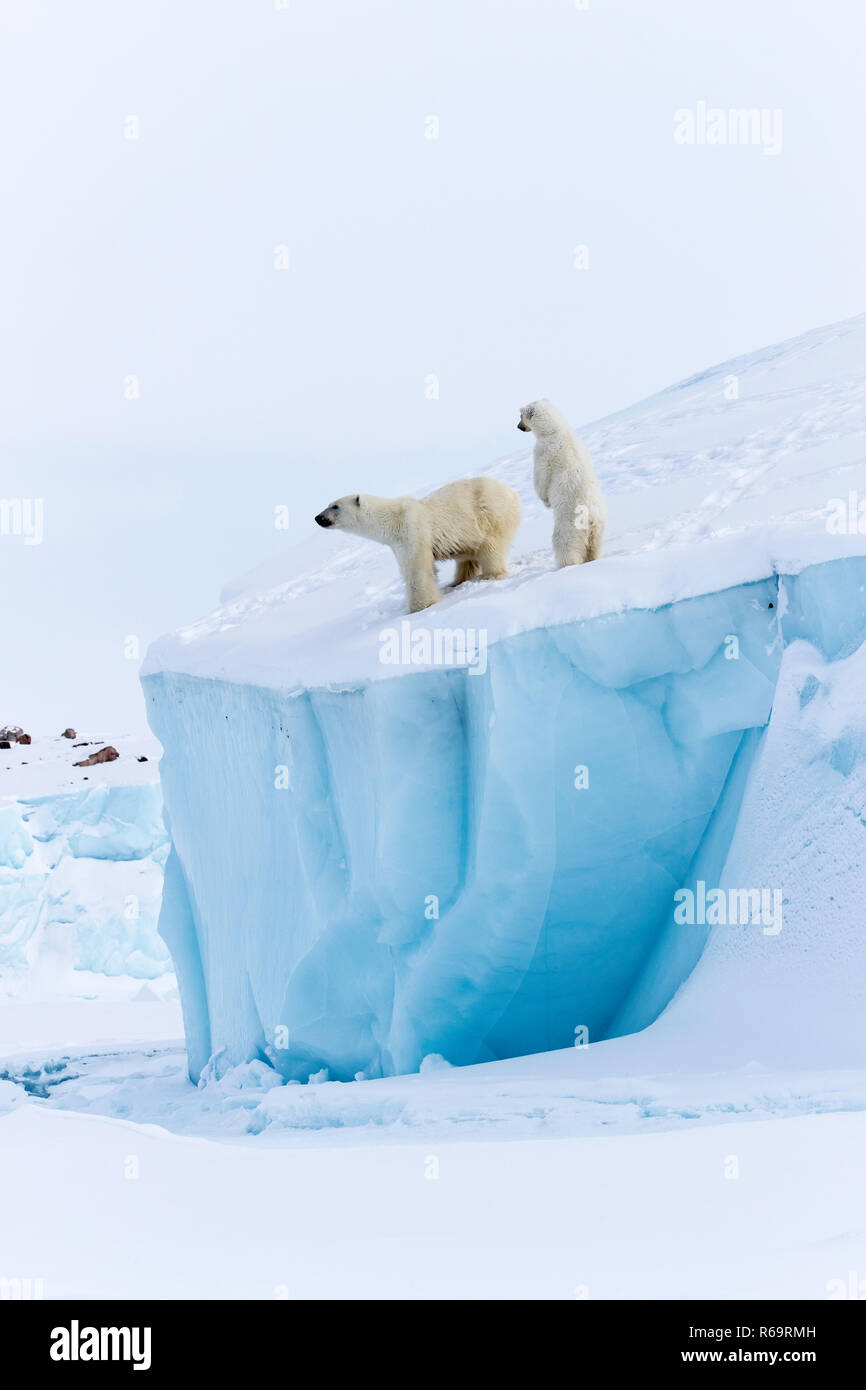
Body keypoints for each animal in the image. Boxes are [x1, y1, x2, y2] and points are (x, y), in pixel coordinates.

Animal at [315, 477, 522, 613]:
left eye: (335, 506)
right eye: (329, 504)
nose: (318, 518)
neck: (391, 519)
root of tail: (511, 492)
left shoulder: (410, 531)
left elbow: (417, 570)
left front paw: (421, 606)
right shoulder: (396, 543)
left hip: (489, 514)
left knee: (490, 546)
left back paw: (492, 574)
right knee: (467, 556)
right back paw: (456, 581)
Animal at [518, 398, 606, 567]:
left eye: (520, 416)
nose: (518, 427)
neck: (556, 429)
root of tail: (589, 517)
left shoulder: (543, 450)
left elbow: (541, 476)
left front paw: (546, 501)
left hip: (569, 524)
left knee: (564, 543)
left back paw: (566, 564)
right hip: (599, 525)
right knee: (595, 544)